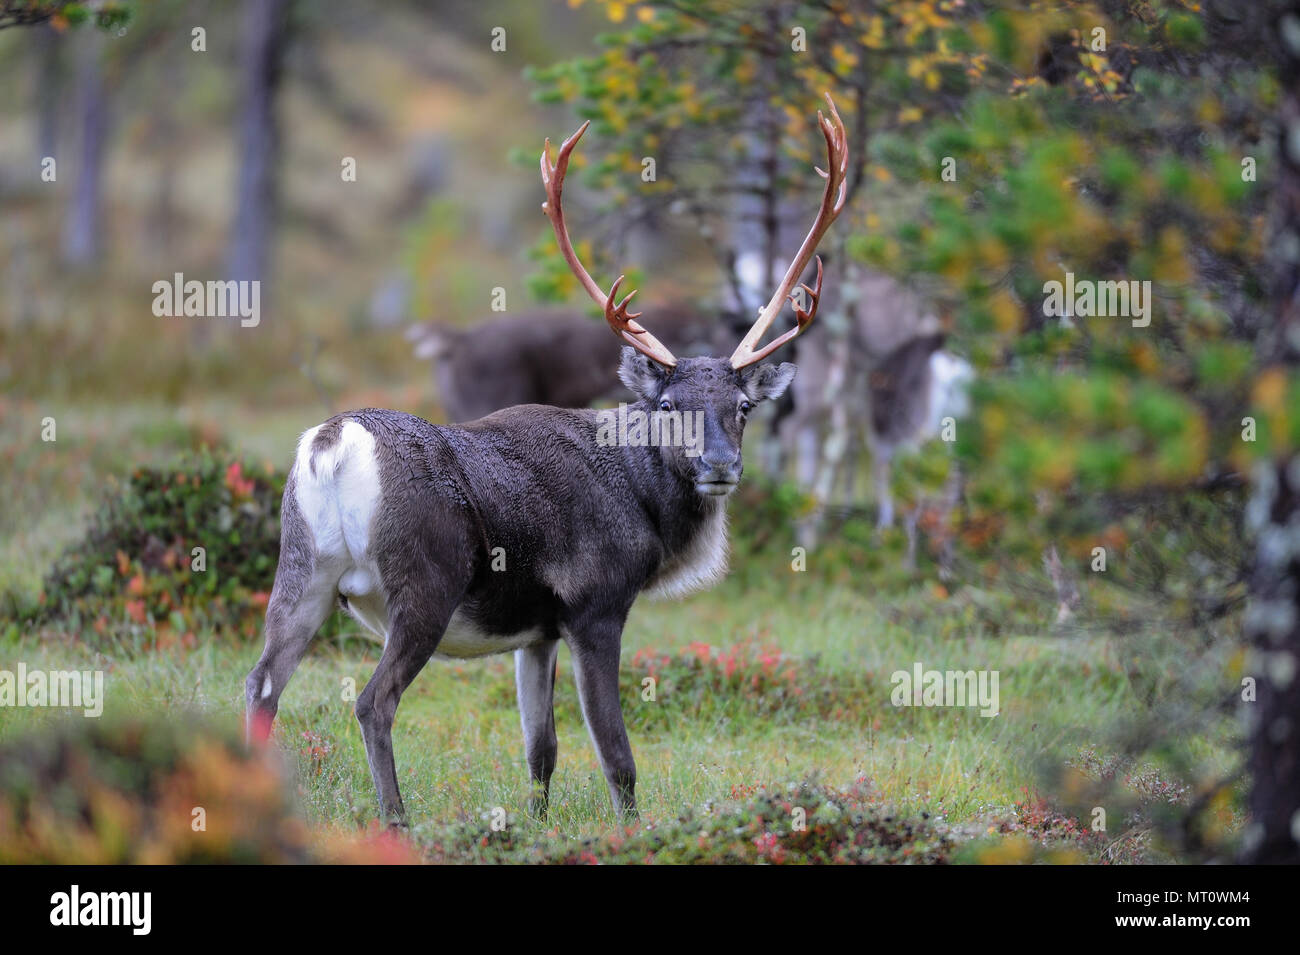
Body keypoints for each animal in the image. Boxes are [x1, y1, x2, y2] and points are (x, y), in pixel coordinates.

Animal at [244, 94, 849, 824]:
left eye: (743, 405)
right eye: (667, 402)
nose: (720, 466)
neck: (645, 507)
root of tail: (334, 442)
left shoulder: (538, 631)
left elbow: (541, 749)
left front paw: (536, 825)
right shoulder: (596, 605)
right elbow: (616, 755)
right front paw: (628, 830)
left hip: (300, 569)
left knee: (261, 685)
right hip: (424, 583)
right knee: (371, 701)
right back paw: (396, 820)